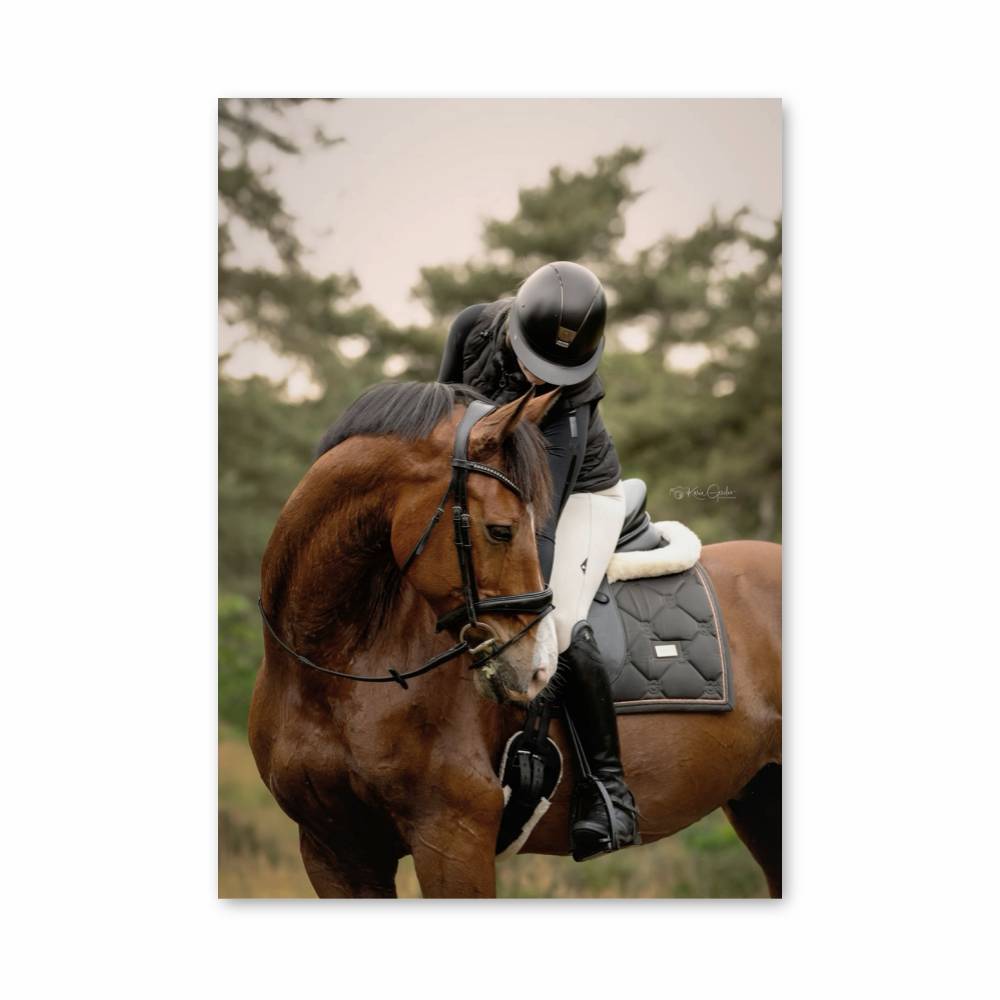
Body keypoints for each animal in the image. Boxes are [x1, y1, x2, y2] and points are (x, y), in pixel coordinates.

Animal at [249, 381, 782, 898]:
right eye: (501, 530)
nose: (536, 669)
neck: (334, 667)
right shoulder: (335, 852)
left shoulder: (453, 837)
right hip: (760, 798)